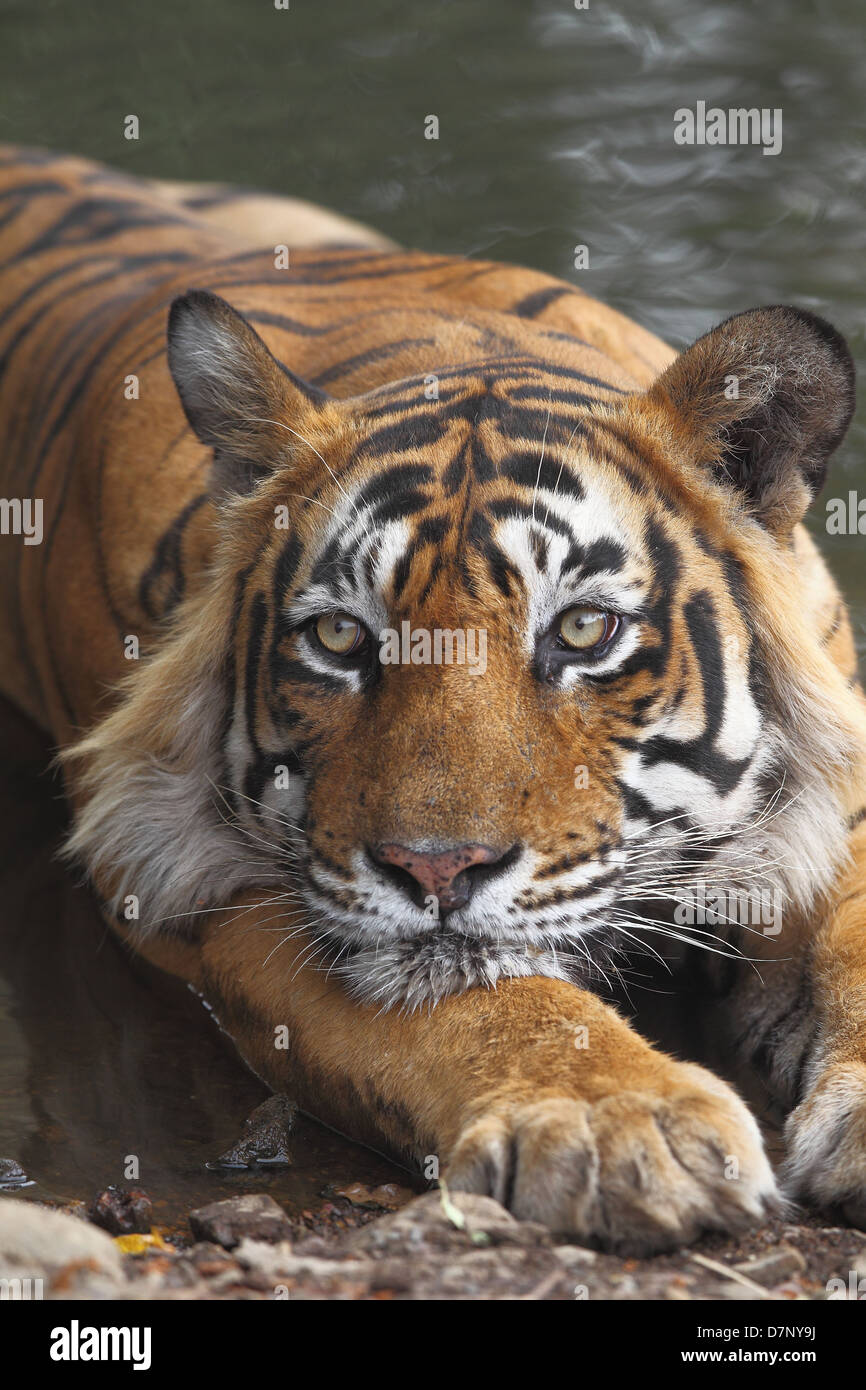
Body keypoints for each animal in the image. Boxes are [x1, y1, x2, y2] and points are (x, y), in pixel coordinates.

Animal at [2, 144, 866, 1255]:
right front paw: (619, 1126)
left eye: (581, 630)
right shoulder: (216, 895)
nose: (435, 869)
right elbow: (485, 1001)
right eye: (339, 637)